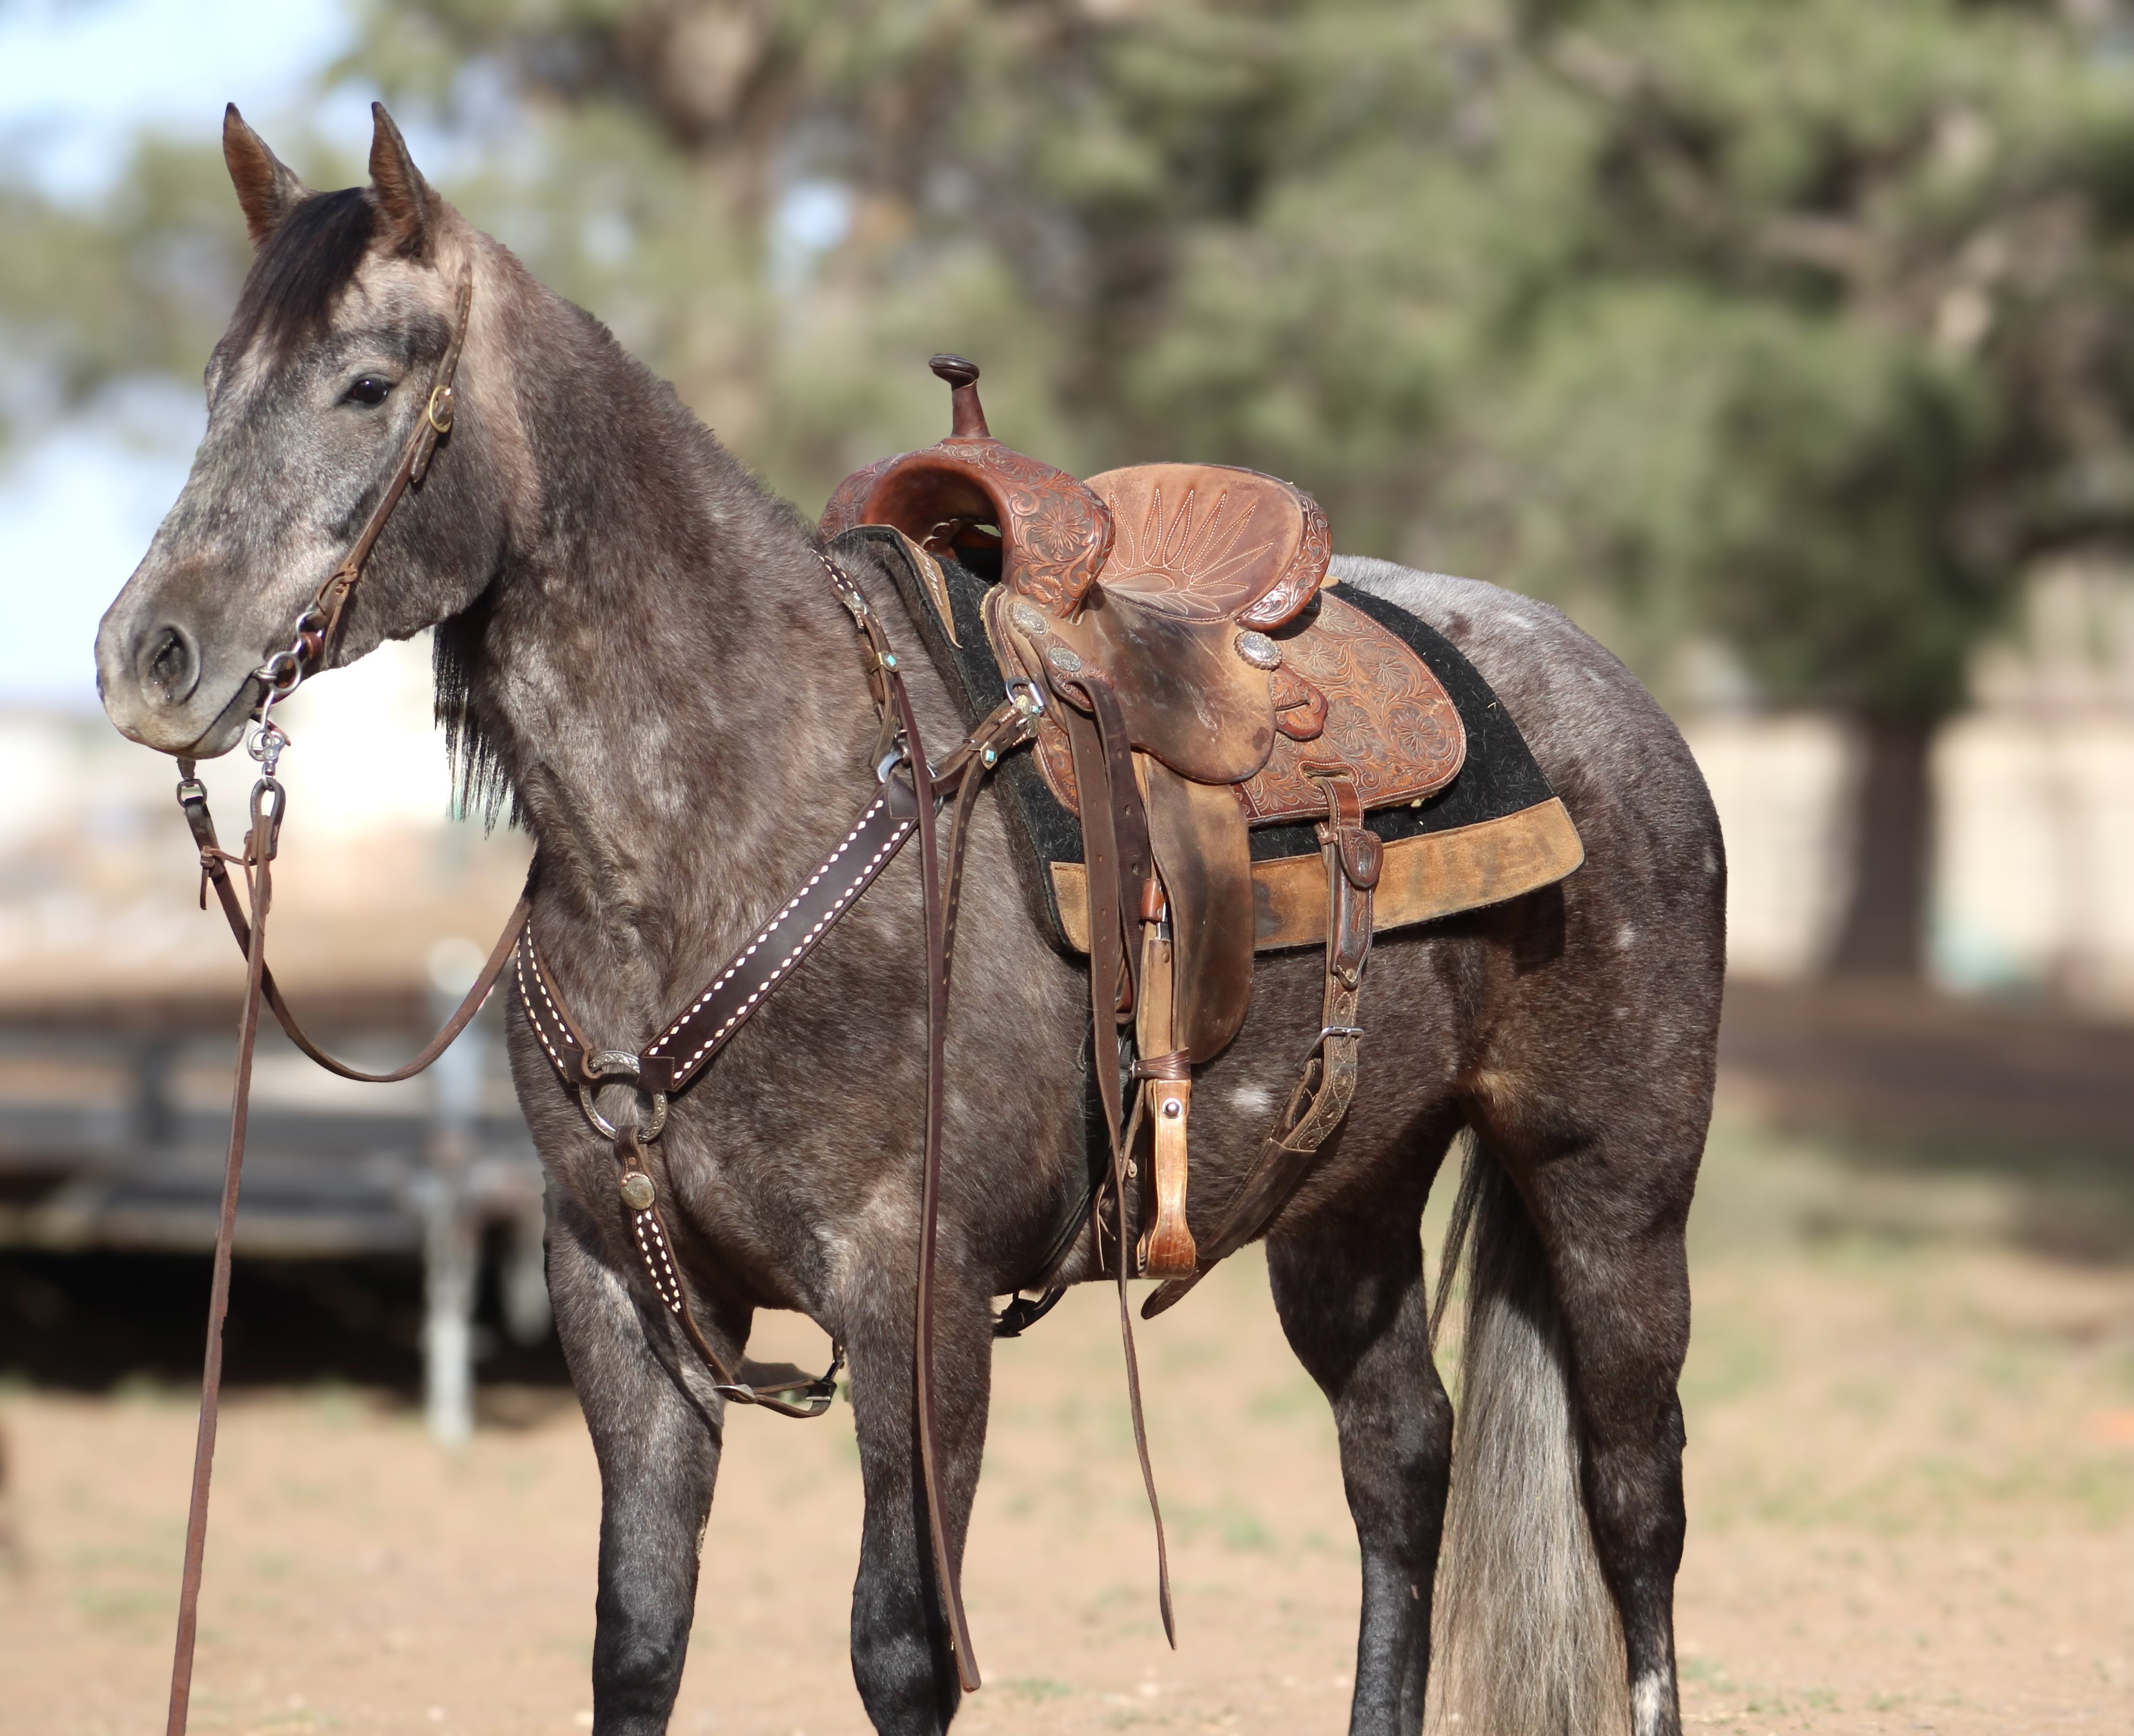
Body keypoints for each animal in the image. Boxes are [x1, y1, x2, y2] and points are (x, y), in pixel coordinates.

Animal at [95, 104, 1724, 1736]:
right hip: (1346, 1192)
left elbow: (901, 1645)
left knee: (1632, 1489)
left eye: (369, 383)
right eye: (217, 383)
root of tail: (1618, 696)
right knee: (1399, 1455)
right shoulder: (618, 1290)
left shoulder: (914, 1294)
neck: (722, 823)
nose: (144, 656)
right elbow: (637, 1628)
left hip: (1611, 1186)